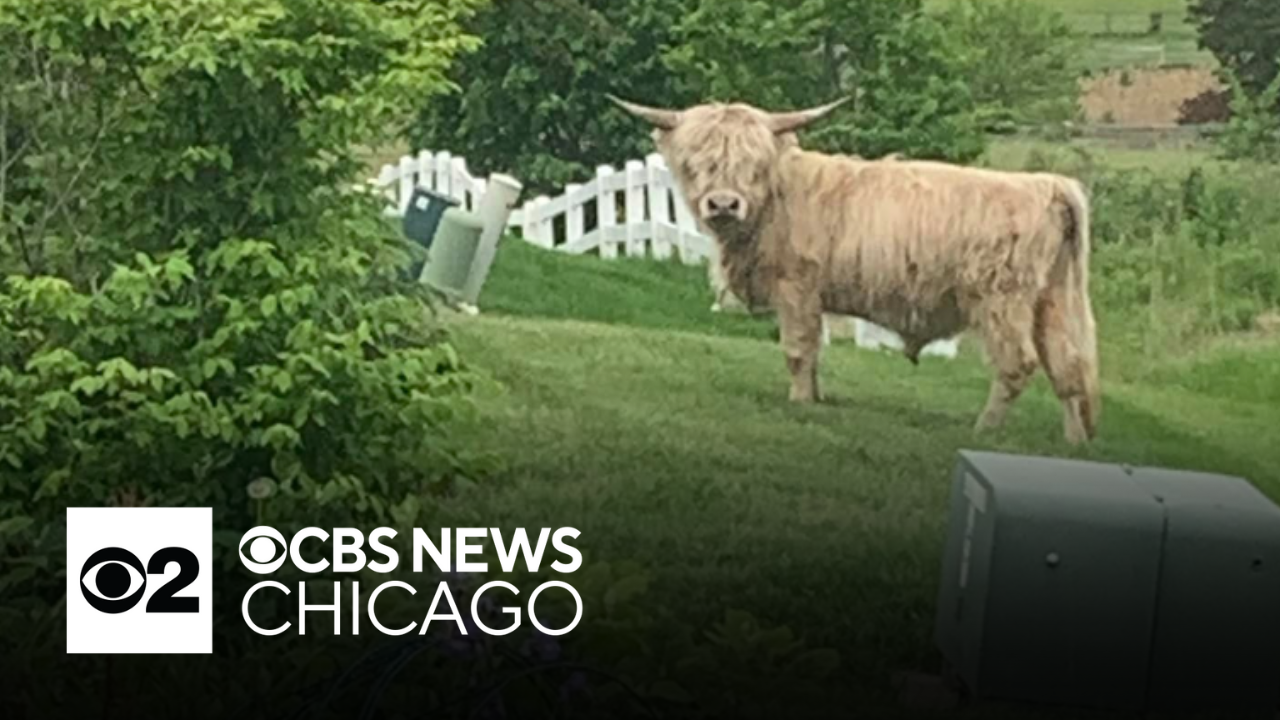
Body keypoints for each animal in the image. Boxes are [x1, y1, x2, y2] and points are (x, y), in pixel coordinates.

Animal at [610, 96, 1101, 444]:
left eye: (753, 164)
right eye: (696, 162)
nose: (723, 204)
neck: (775, 201)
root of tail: (1046, 184)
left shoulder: (796, 286)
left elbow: (798, 349)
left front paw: (800, 403)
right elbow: (814, 352)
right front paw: (816, 398)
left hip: (1002, 299)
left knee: (1019, 364)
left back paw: (984, 429)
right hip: (1052, 299)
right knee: (1068, 367)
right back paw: (1074, 444)